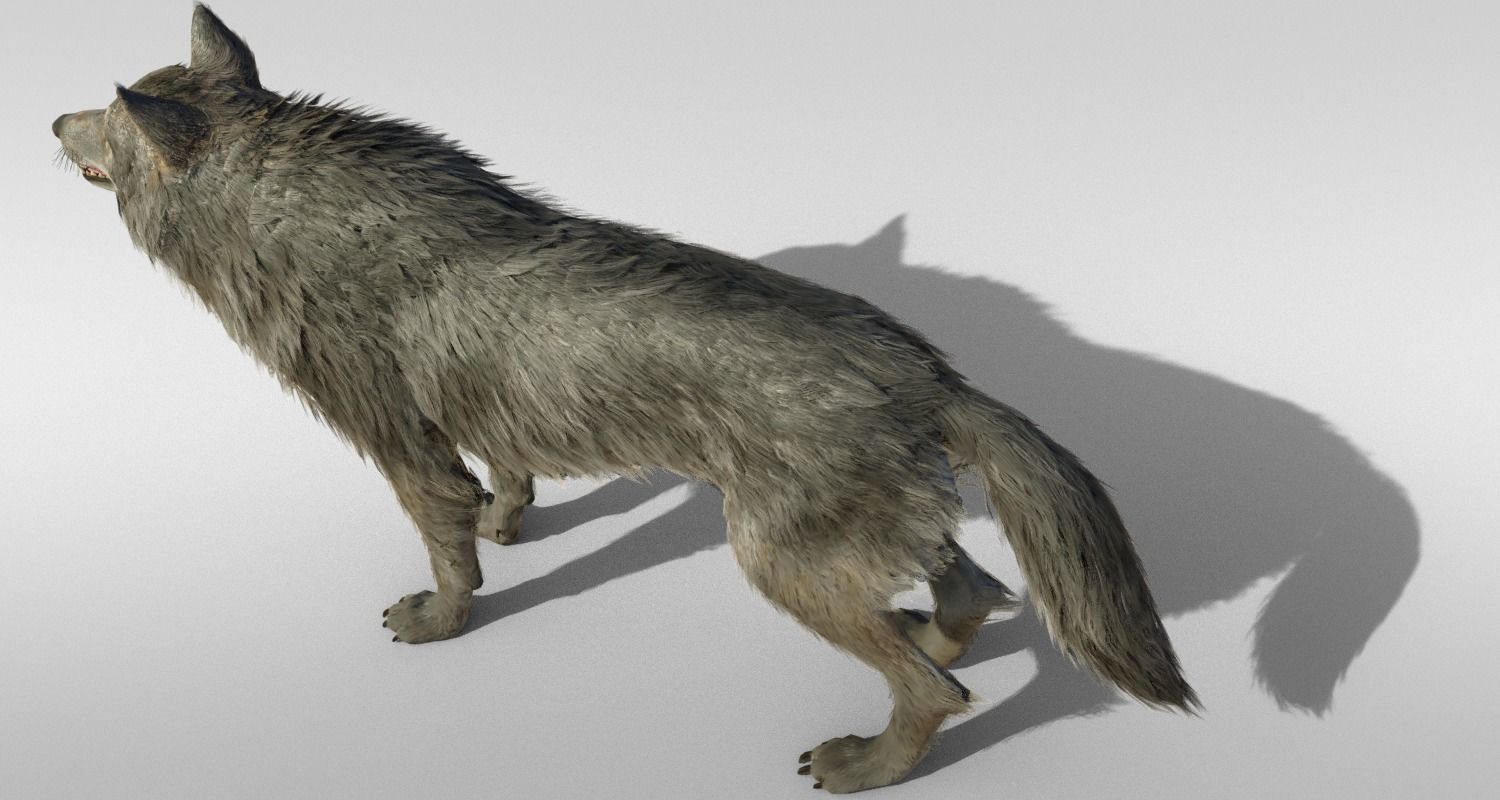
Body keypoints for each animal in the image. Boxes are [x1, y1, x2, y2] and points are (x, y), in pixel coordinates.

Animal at [52, 4, 1197, 792]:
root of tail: (936, 373)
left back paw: (865, 761)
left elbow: (448, 549)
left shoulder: (404, 448)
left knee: (941, 689)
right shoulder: (481, 418)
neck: (282, 205)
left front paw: (441, 620)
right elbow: (507, 482)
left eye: (105, 118)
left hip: (776, 563)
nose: (51, 118)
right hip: (866, 537)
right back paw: (928, 627)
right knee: (973, 594)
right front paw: (511, 526)